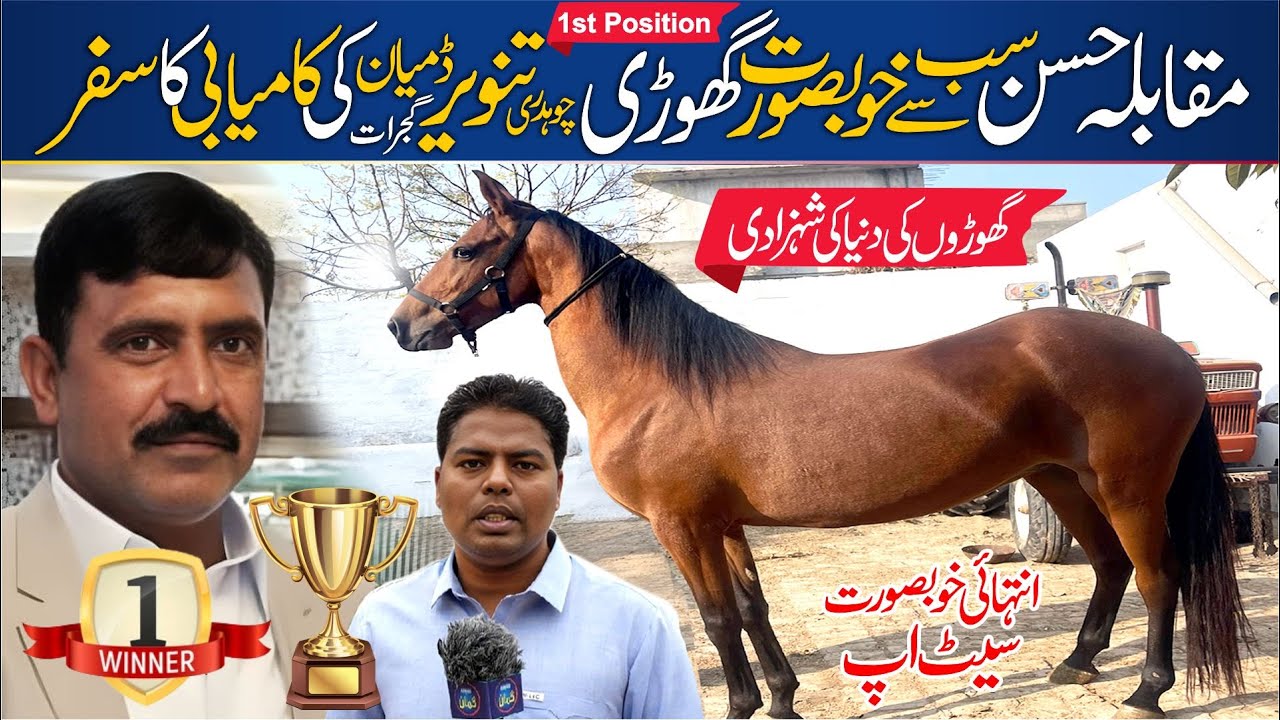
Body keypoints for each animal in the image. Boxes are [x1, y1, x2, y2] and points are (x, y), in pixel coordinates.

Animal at [386, 171, 1252, 719]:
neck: (659, 381)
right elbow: (752, 606)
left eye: (466, 249)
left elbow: (716, 619)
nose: (403, 325)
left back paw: (1149, 690)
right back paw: (1077, 662)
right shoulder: (723, 524)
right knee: (1110, 569)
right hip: (1062, 480)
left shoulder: (681, 525)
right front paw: (780, 700)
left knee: (1159, 578)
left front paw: (740, 705)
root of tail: (1174, 354)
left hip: (1127, 488)